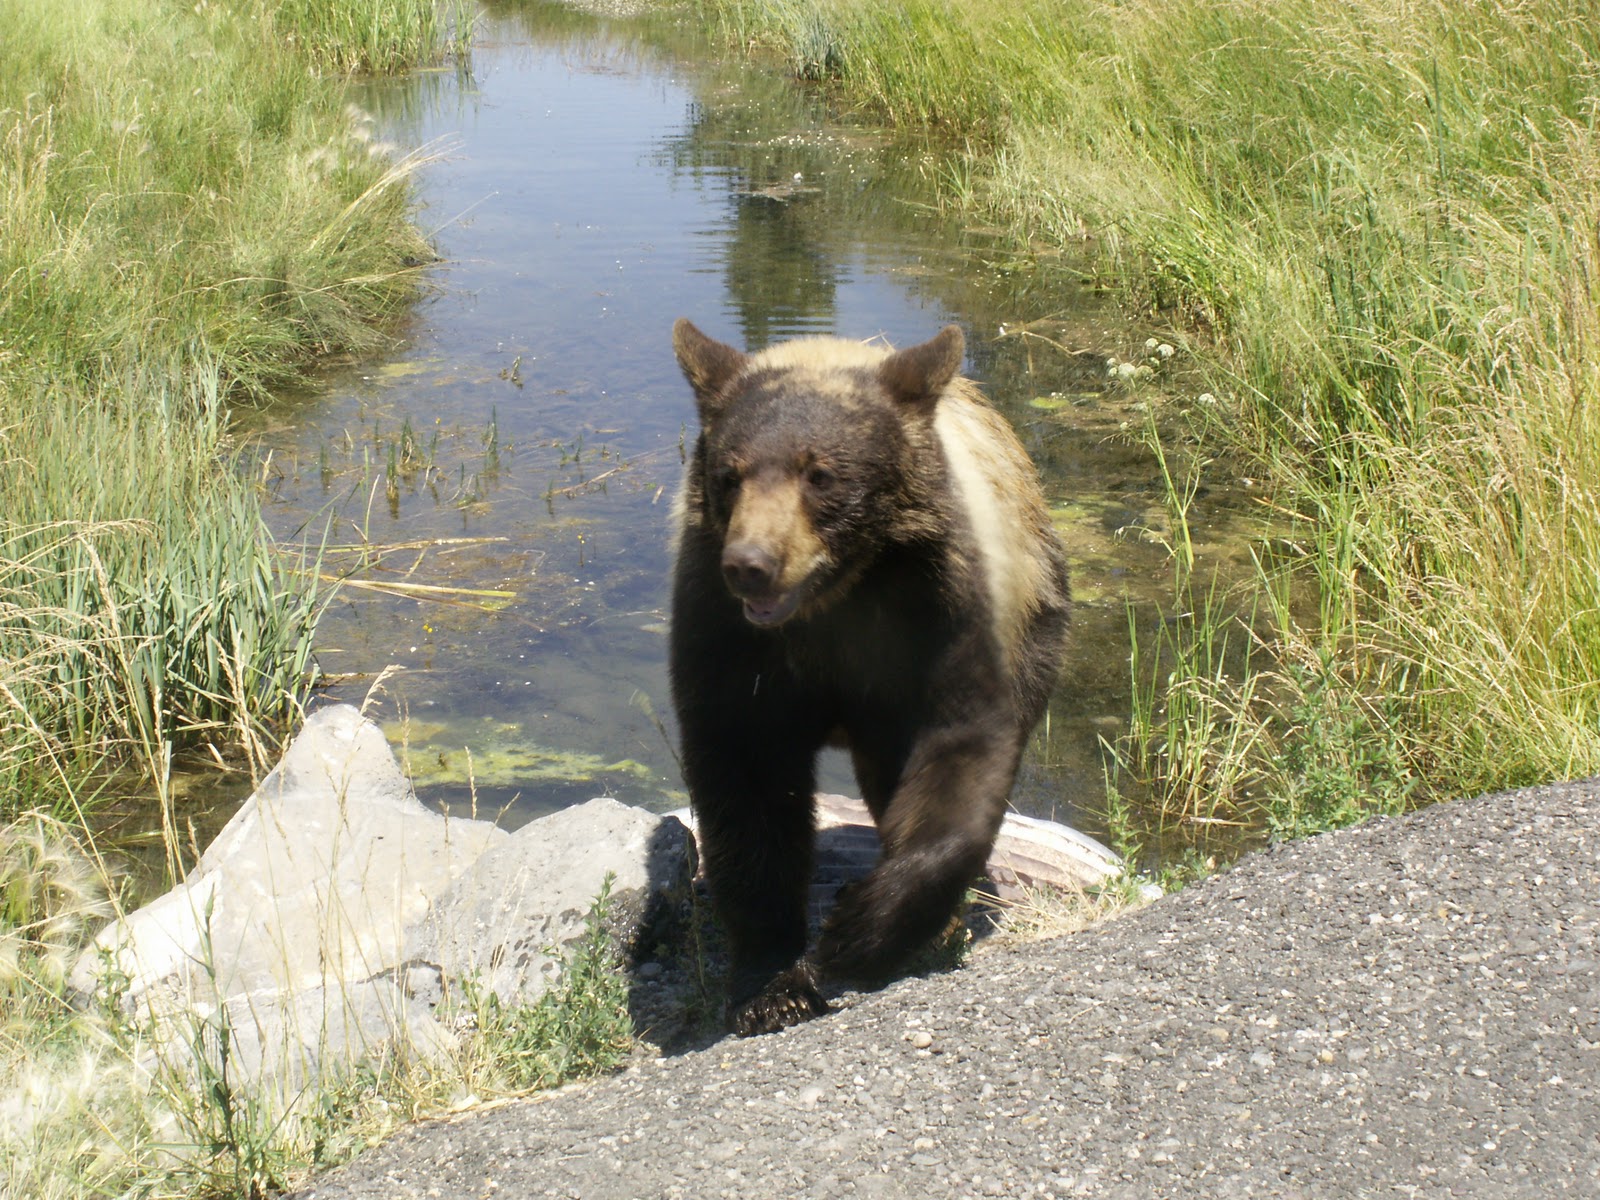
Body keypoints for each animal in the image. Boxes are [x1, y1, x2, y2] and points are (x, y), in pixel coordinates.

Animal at [669, 319, 1071, 1036]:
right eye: (728, 474)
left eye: (821, 473)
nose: (751, 564)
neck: (834, 600)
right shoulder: (727, 637)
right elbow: (744, 781)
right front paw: (770, 984)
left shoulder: (933, 614)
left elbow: (962, 741)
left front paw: (857, 929)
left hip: (1036, 610)